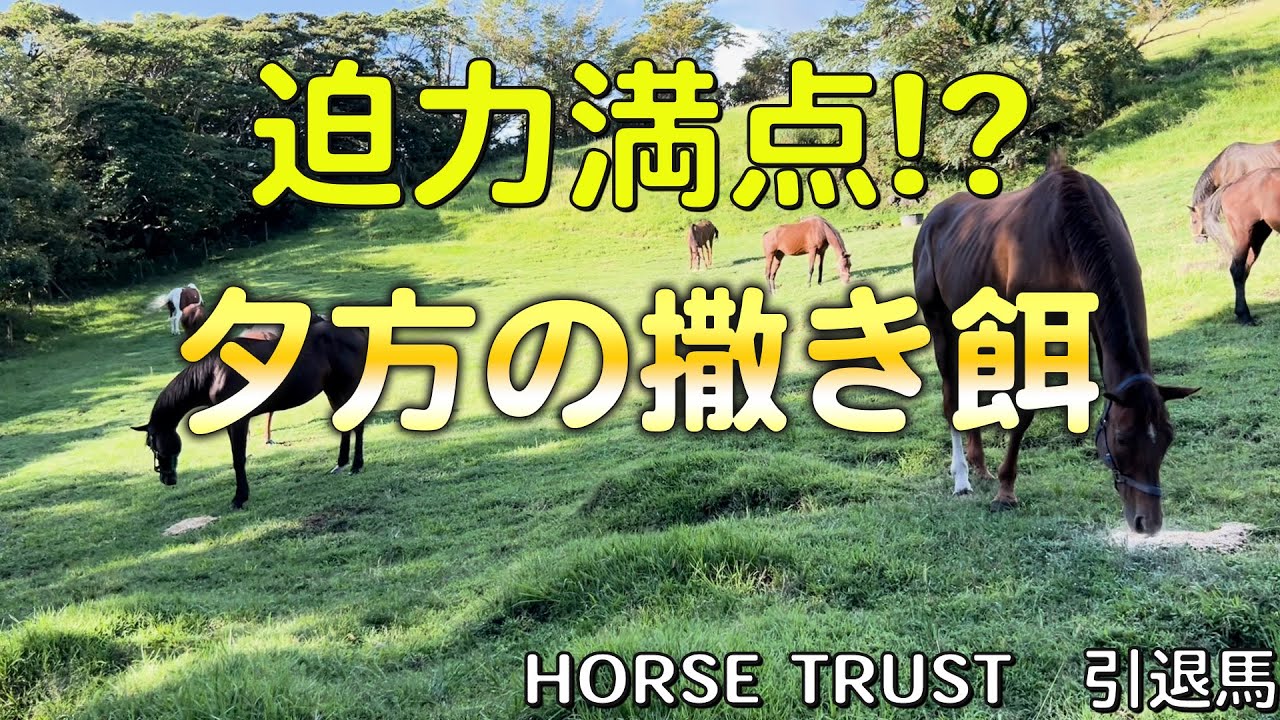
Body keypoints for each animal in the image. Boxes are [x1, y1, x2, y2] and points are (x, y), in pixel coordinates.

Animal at [133, 317, 367, 509]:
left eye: (151, 444)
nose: (167, 479)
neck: (215, 372)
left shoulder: (239, 421)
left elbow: (239, 459)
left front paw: (239, 498)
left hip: (347, 387)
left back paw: (356, 466)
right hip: (333, 389)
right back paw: (340, 464)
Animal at [912, 151, 1197, 535]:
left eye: (1168, 437)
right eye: (1122, 437)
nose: (1147, 523)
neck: (1068, 233)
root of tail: (932, 219)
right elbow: (1022, 411)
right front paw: (1006, 491)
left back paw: (979, 465)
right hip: (940, 323)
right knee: (950, 397)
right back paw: (962, 477)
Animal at [1201, 167, 1280, 325]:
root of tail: (1232, 184)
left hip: (1258, 234)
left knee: (1244, 269)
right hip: (1243, 235)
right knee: (1236, 270)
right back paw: (1245, 316)